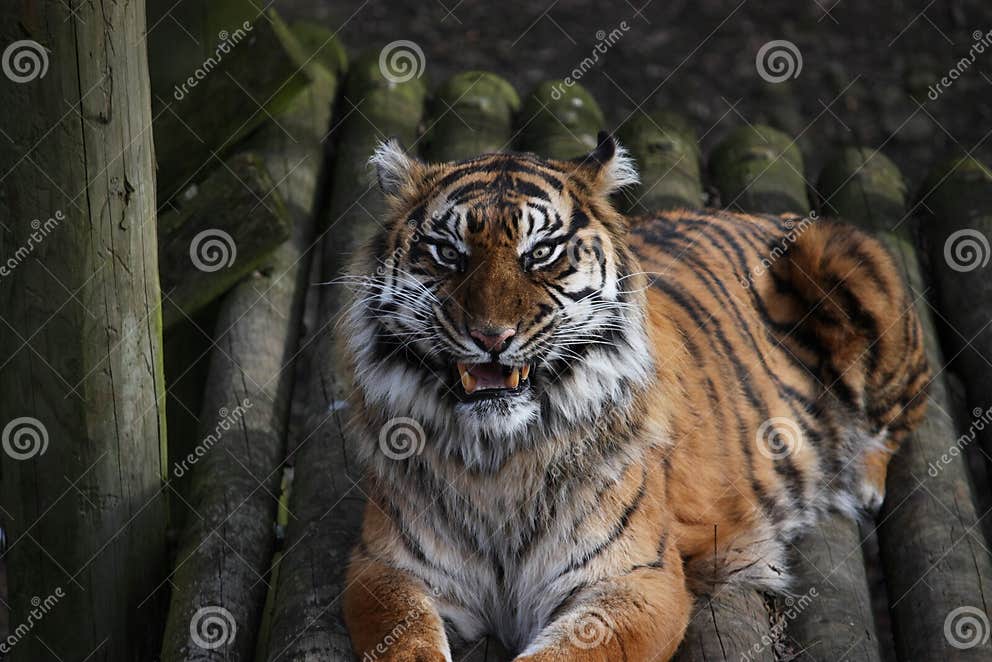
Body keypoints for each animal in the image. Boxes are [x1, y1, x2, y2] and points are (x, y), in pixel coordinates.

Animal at [338, 133, 929, 662]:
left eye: (542, 253)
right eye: (447, 253)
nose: (491, 335)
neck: (500, 458)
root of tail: (775, 216)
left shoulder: (638, 580)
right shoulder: (384, 567)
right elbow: (407, 643)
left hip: (850, 263)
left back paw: (861, 480)